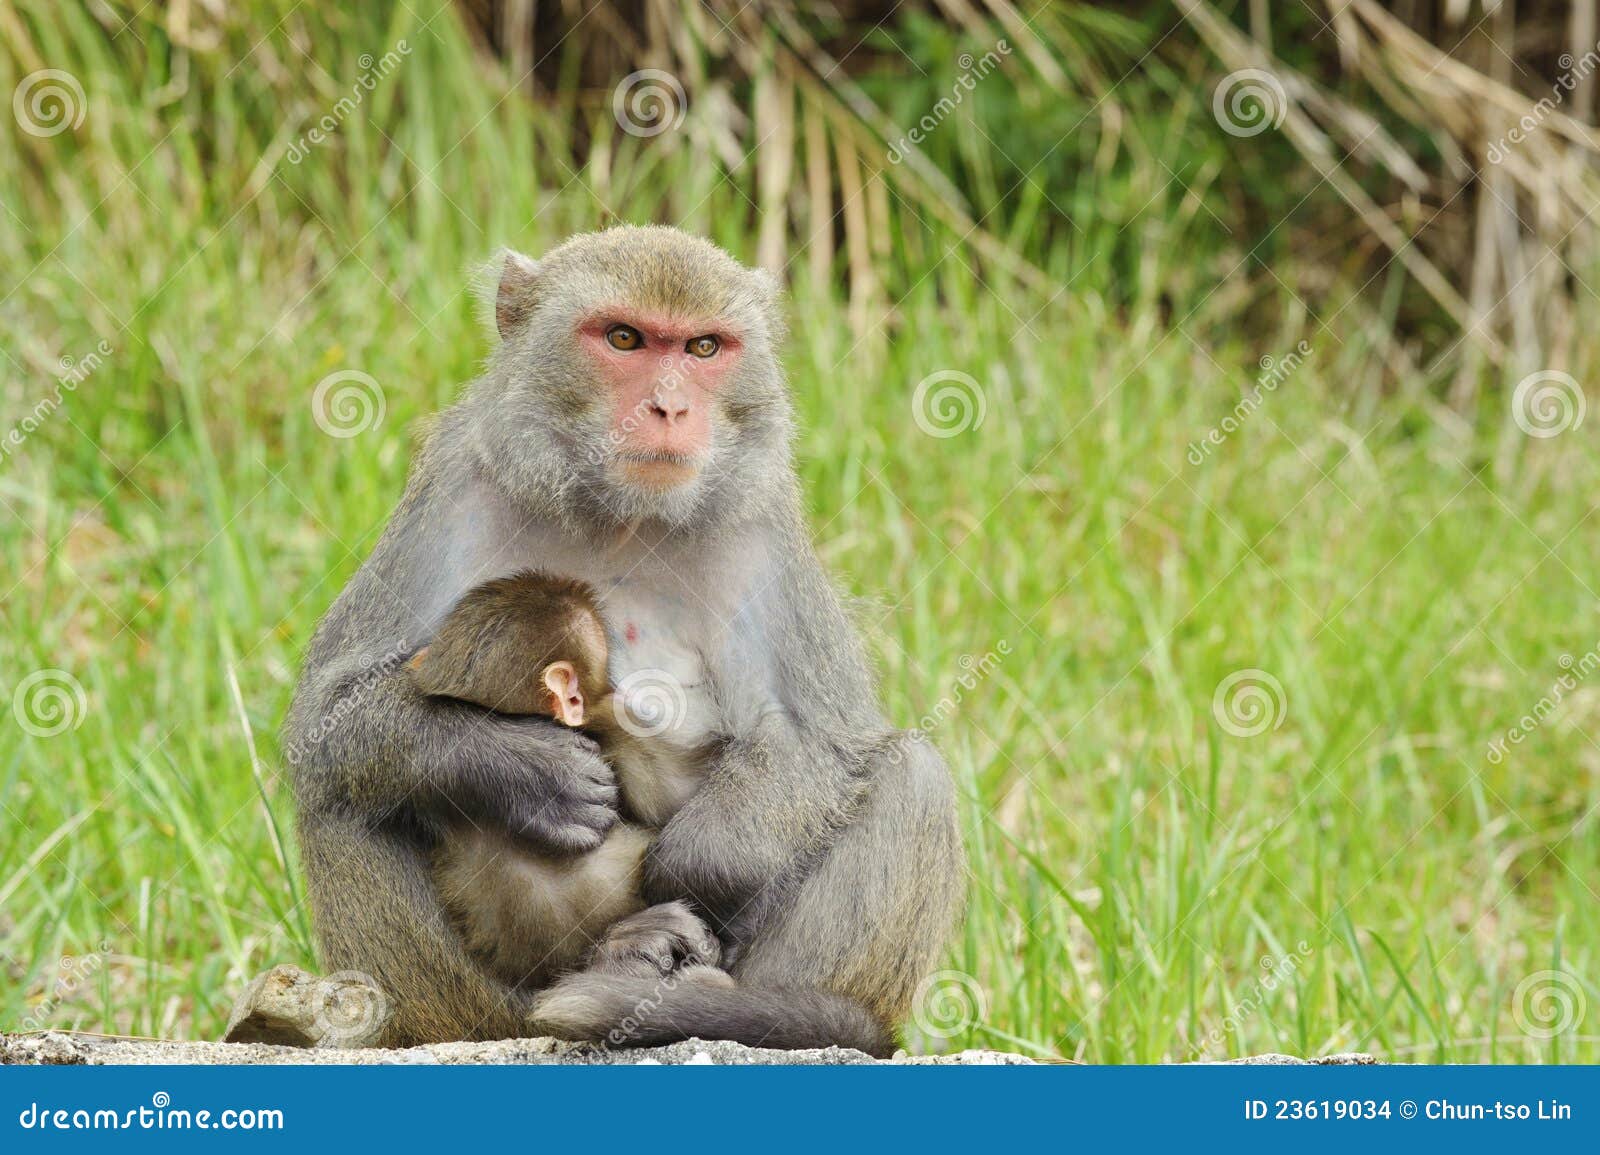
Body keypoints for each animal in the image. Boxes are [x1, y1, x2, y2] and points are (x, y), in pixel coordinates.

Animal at [283, 224, 964, 1057]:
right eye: (624, 339)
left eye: (703, 347)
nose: (669, 406)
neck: (619, 516)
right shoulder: (455, 487)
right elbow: (329, 719)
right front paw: (518, 768)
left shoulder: (760, 525)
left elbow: (821, 737)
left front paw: (690, 864)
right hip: (481, 999)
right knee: (342, 800)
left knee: (912, 773)